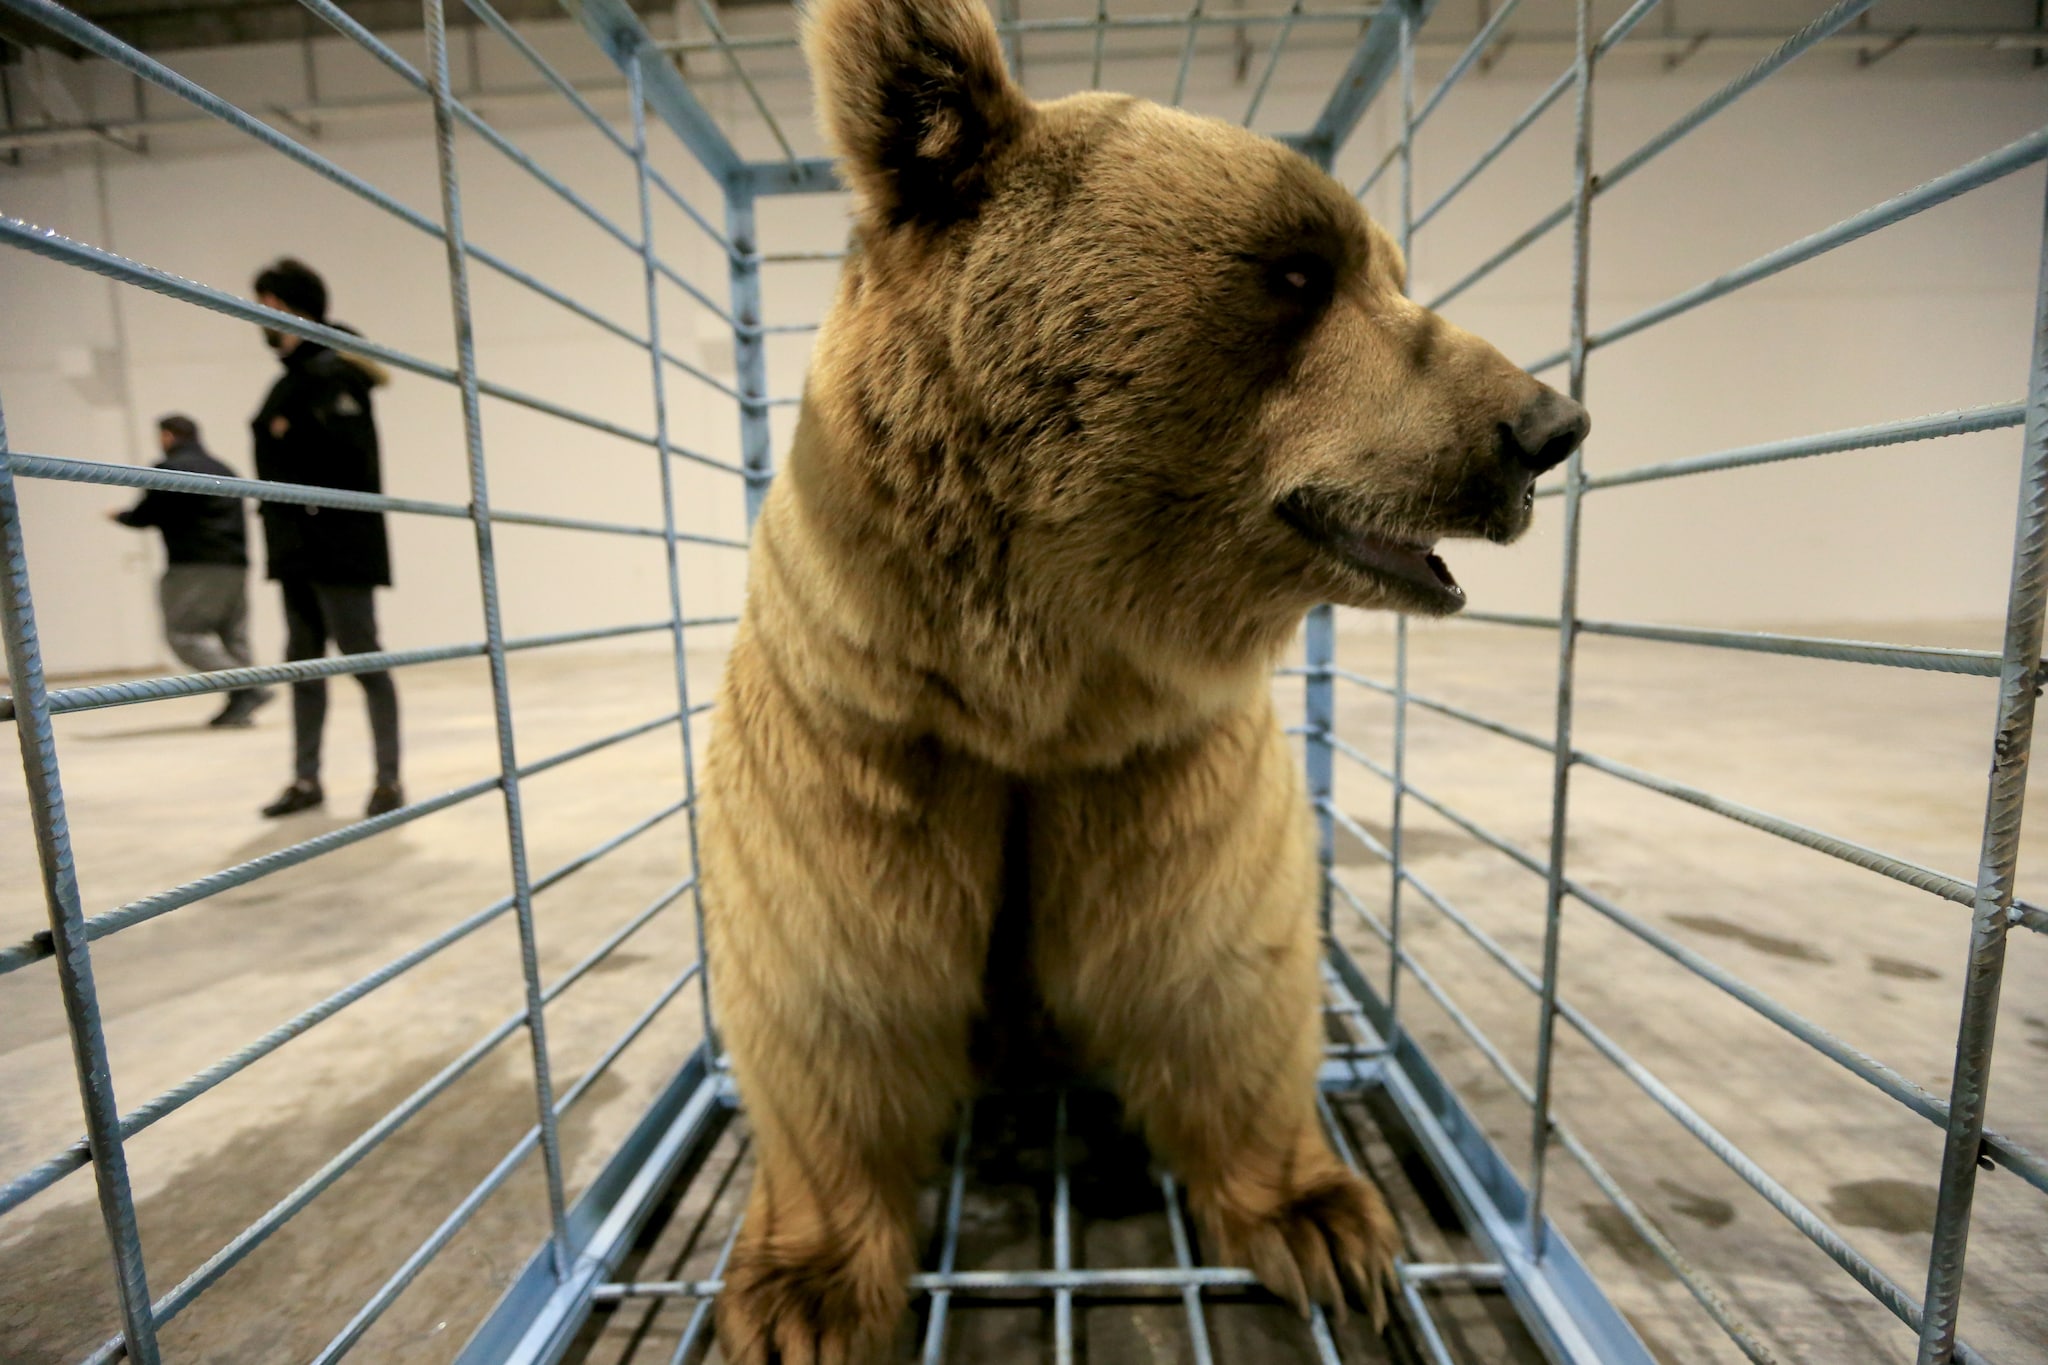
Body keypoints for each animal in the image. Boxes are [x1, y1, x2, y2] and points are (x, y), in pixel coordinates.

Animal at [696, 0, 1590, 1358]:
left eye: (1386, 269)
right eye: (1294, 272)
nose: (1545, 425)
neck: (1039, 682)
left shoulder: (1159, 761)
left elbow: (1213, 976)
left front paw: (1324, 1226)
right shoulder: (863, 739)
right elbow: (834, 998)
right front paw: (803, 1296)